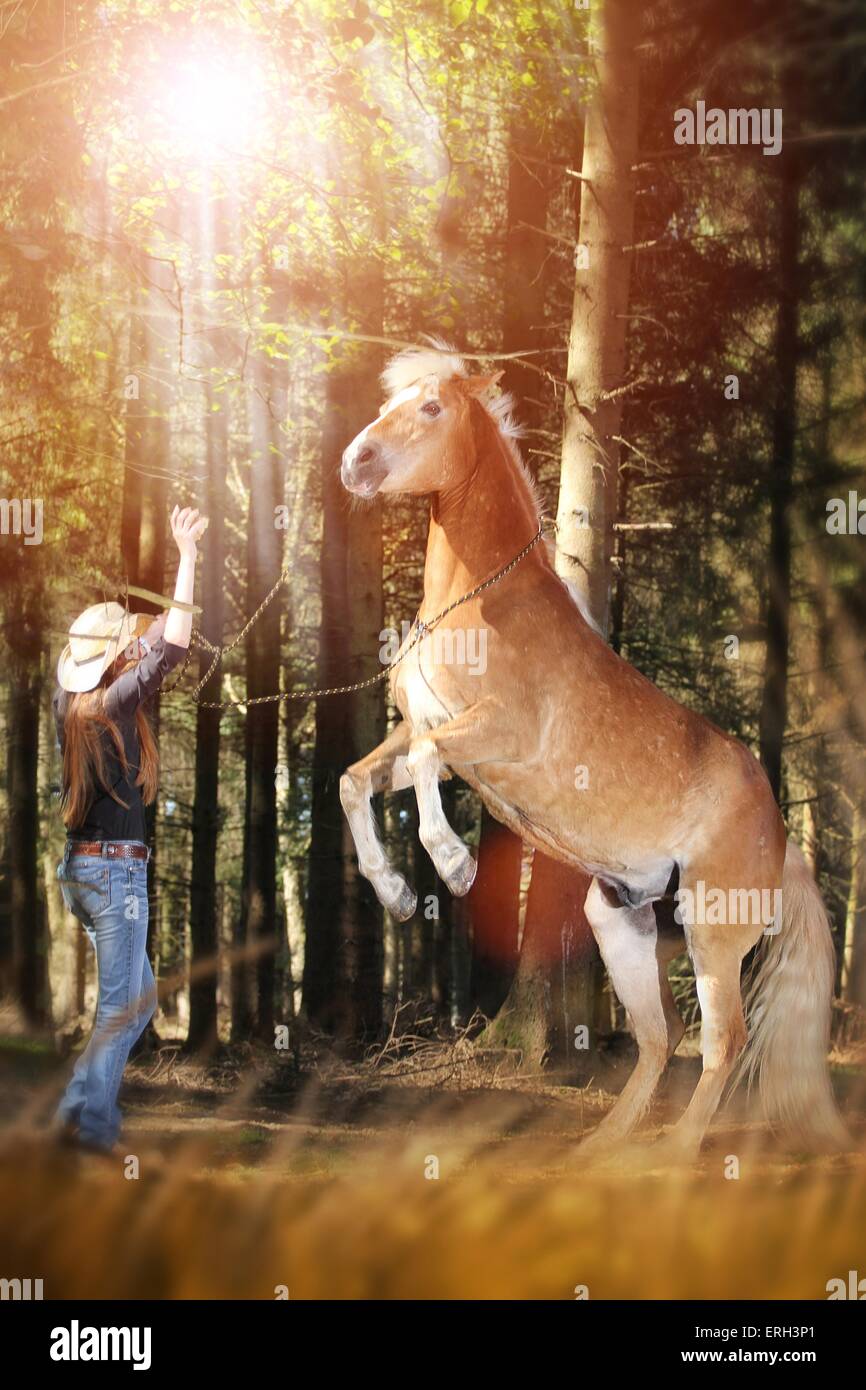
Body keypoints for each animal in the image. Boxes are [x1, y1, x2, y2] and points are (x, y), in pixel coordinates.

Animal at [337, 342, 847, 1159]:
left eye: (431, 407)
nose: (354, 463)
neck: (479, 603)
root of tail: (782, 842)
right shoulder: (420, 729)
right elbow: (358, 781)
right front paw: (395, 893)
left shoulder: (496, 735)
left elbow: (421, 768)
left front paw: (453, 865)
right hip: (622, 923)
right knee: (658, 1041)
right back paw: (601, 1148)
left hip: (713, 931)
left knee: (722, 1043)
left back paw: (672, 1157)